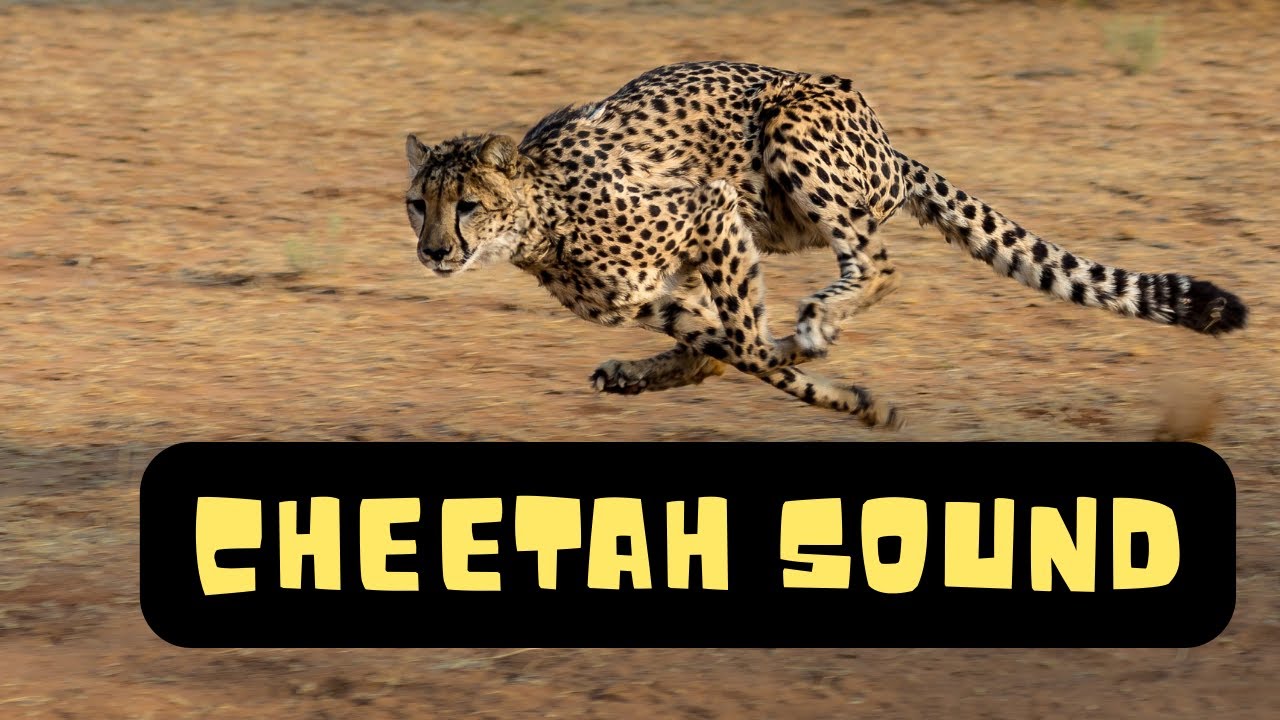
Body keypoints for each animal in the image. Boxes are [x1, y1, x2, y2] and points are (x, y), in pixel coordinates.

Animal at [403, 60, 1248, 430]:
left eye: (467, 205)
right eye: (418, 205)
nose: (434, 252)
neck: (539, 219)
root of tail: (887, 142)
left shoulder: (708, 209)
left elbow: (748, 347)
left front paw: (849, 394)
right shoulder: (658, 292)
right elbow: (728, 349)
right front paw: (846, 395)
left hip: (790, 137)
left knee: (877, 264)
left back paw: (816, 322)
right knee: (726, 343)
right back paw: (652, 371)